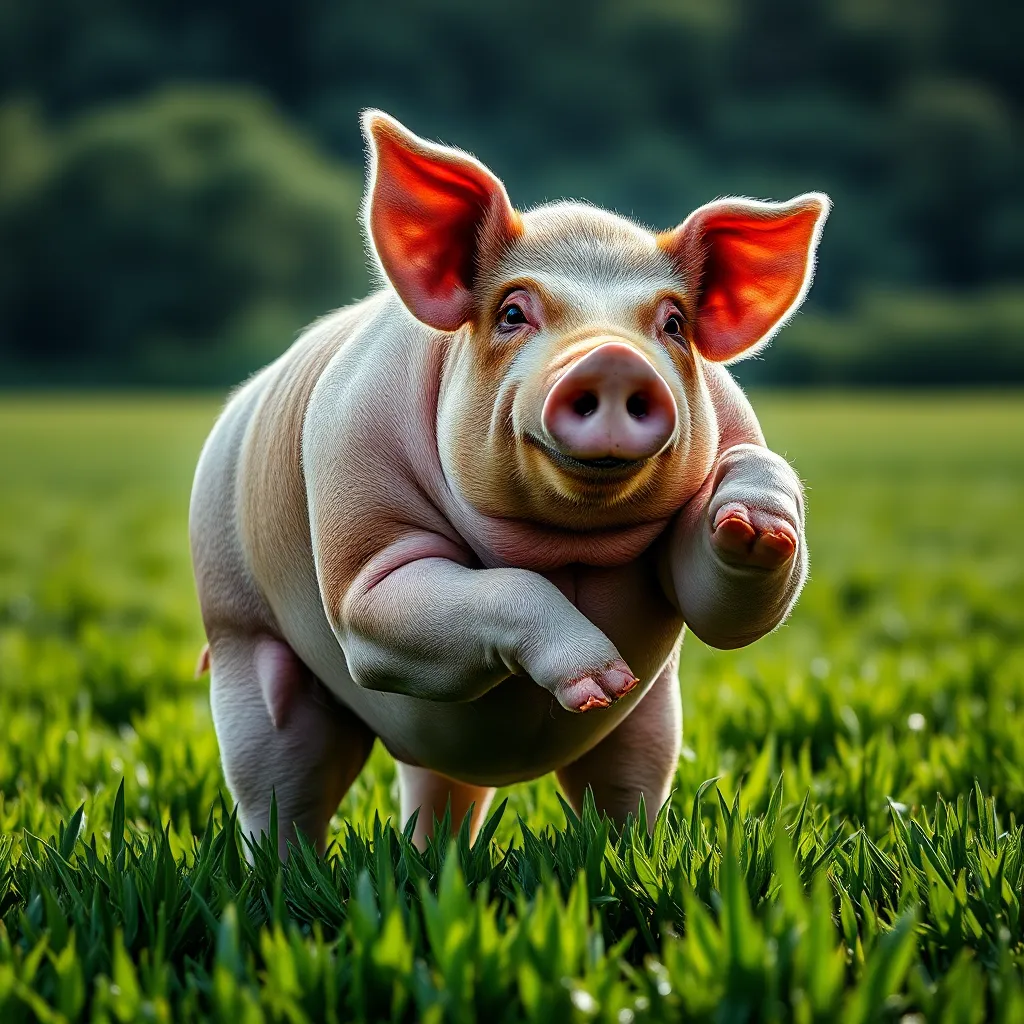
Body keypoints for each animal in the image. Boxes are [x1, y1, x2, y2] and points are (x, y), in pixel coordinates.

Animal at [189, 110, 829, 857]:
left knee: (592, 783)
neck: (570, 544)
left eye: (672, 323)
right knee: (283, 786)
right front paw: (602, 682)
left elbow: (725, 616)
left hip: (642, 731)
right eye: (513, 313)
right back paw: (288, 874)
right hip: (236, 633)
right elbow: (429, 598)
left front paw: (755, 521)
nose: (614, 358)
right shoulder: (363, 551)